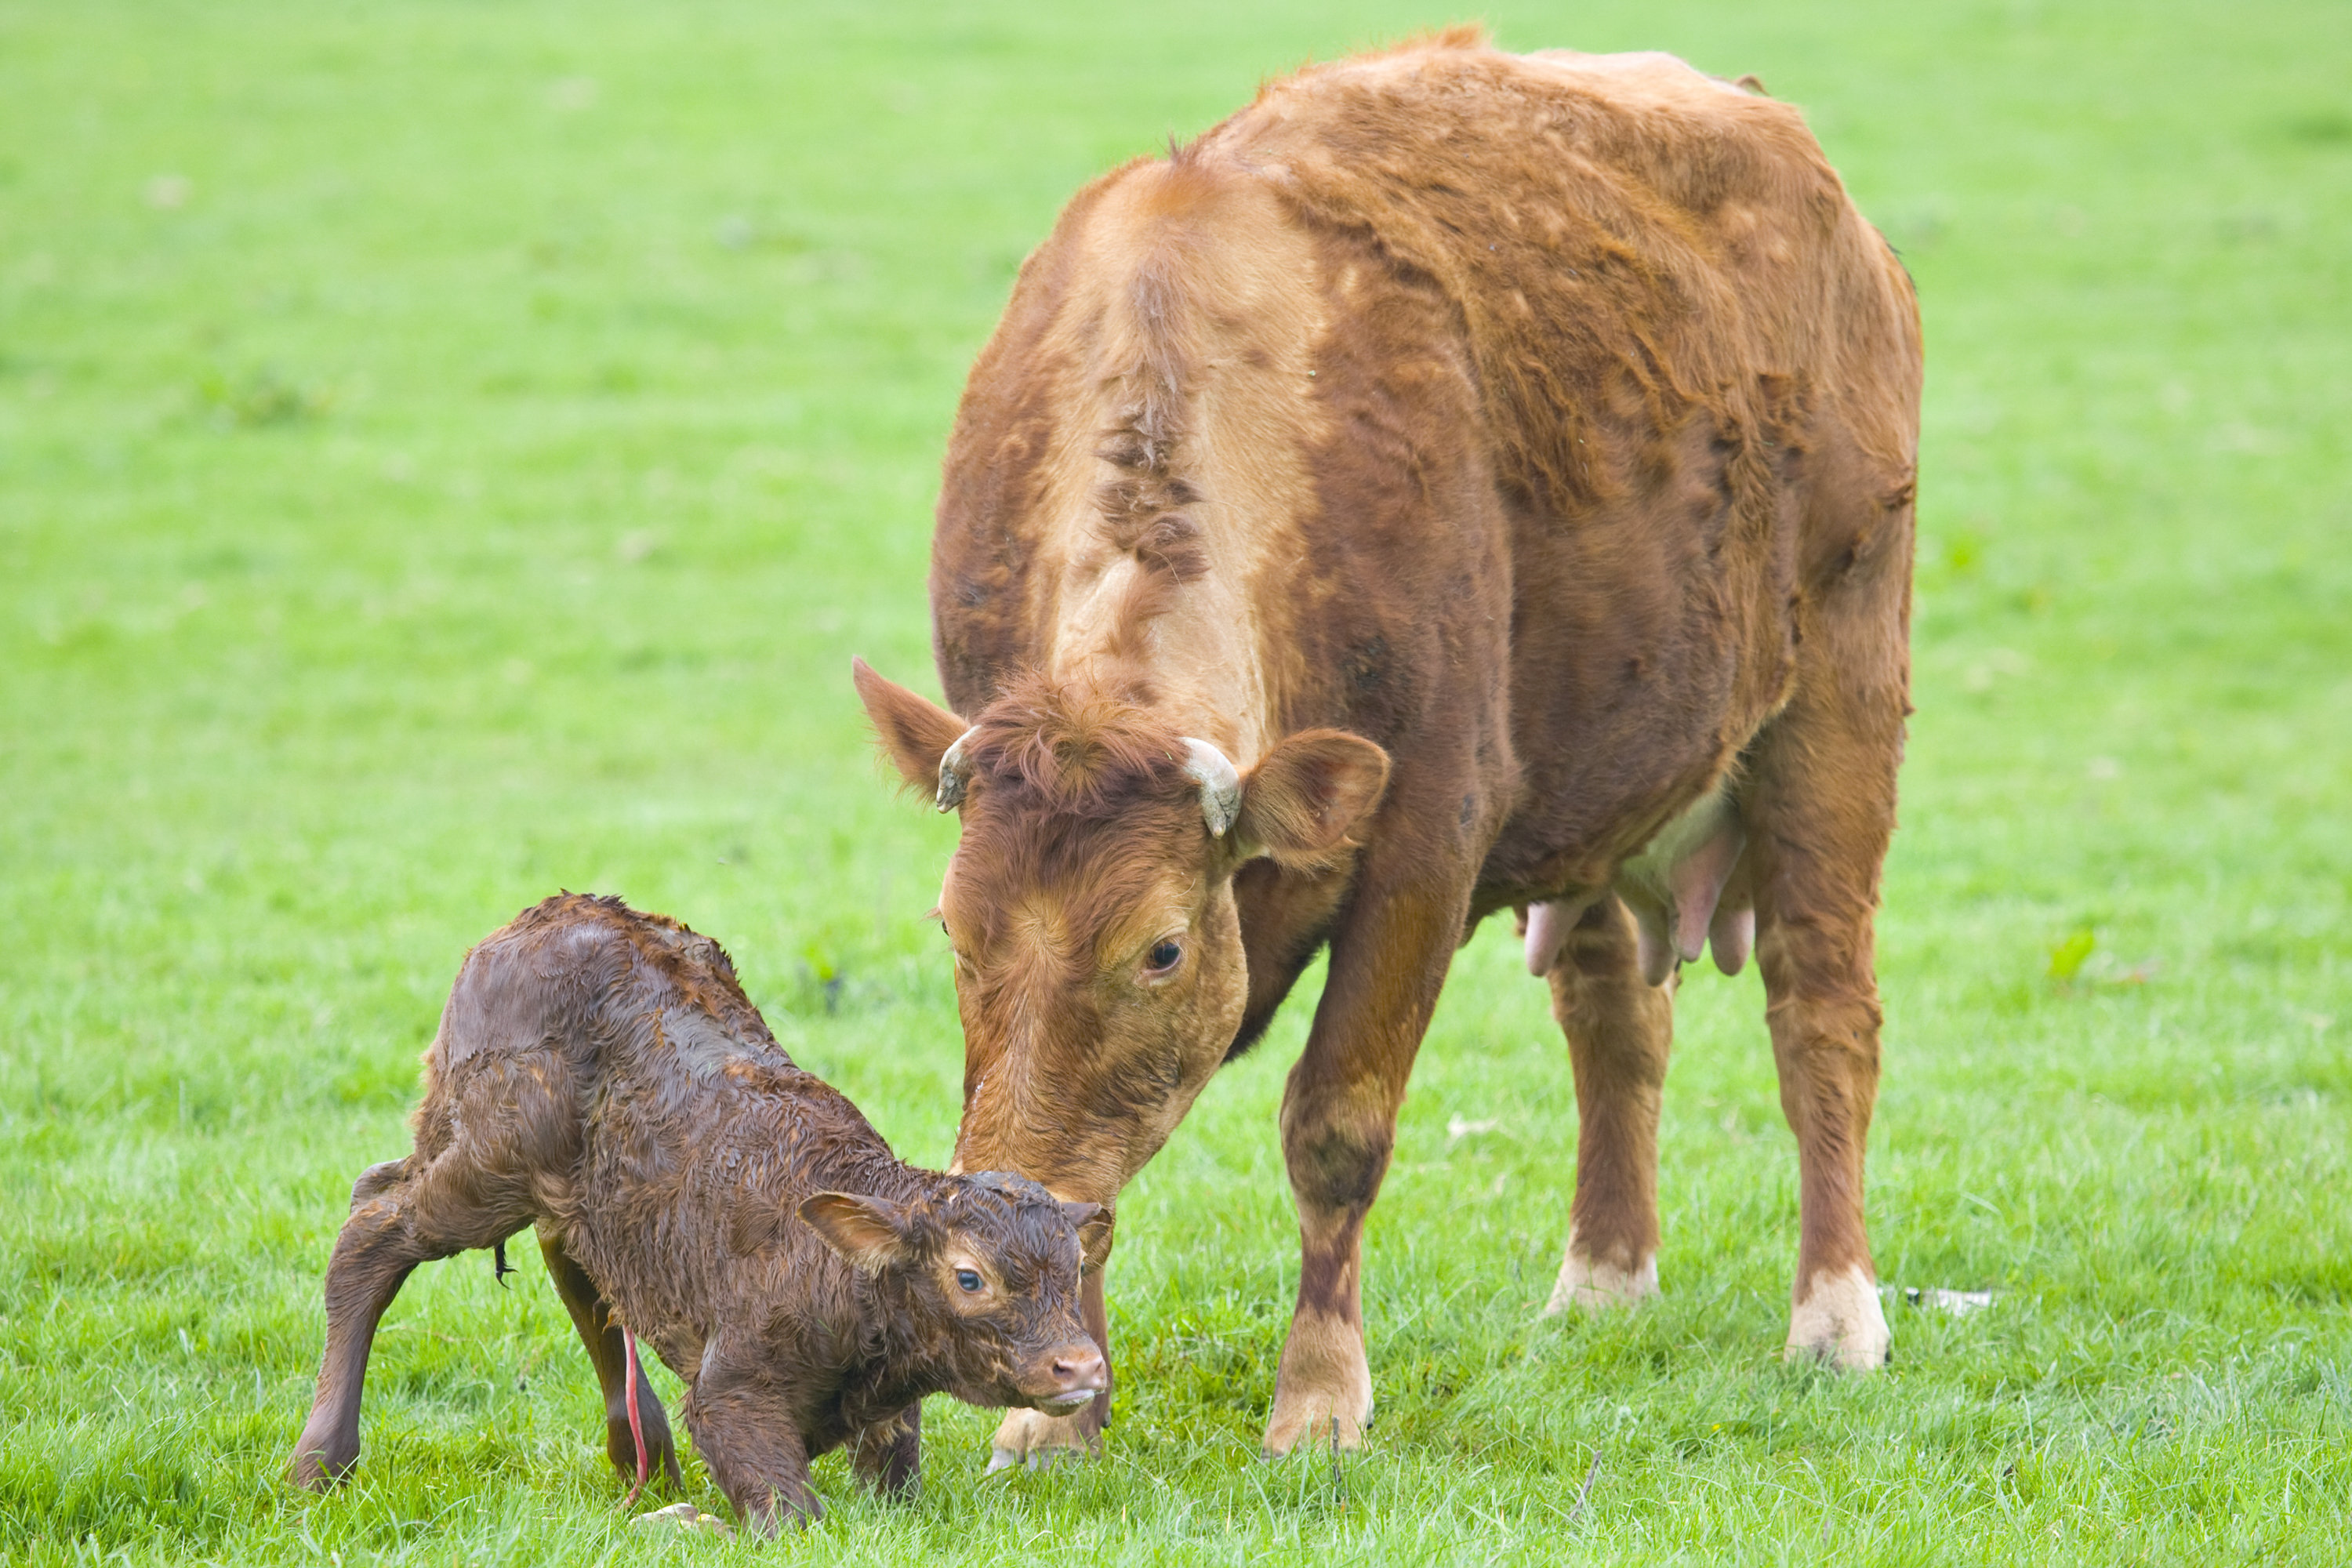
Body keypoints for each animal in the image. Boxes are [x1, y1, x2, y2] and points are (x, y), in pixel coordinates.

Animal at [288, 894, 1106, 1529]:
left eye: (1073, 1270)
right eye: (969, 1277)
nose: (1081, 1363)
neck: (835, 1272)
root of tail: (533, 921)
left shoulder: (886, 1412)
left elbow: (896, 1478)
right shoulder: (731, 1391)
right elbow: (792, 1513)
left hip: (563, 1190)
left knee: (568, 1267)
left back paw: (646, 1467)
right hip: (491, 1166)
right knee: (372, 1227)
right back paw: (319, 1464)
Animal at [853, 28, 1921, 1464]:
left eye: (1162, 950)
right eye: (956, 931)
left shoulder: (1426, 838)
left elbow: (1337, 1127)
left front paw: (1315, 1397)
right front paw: (1054, 1412)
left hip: (1840, 699)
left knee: (1823, 1005)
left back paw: (1836, 1314)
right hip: (1603, 782)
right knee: (1614, 1015)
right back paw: (1604, 1277)